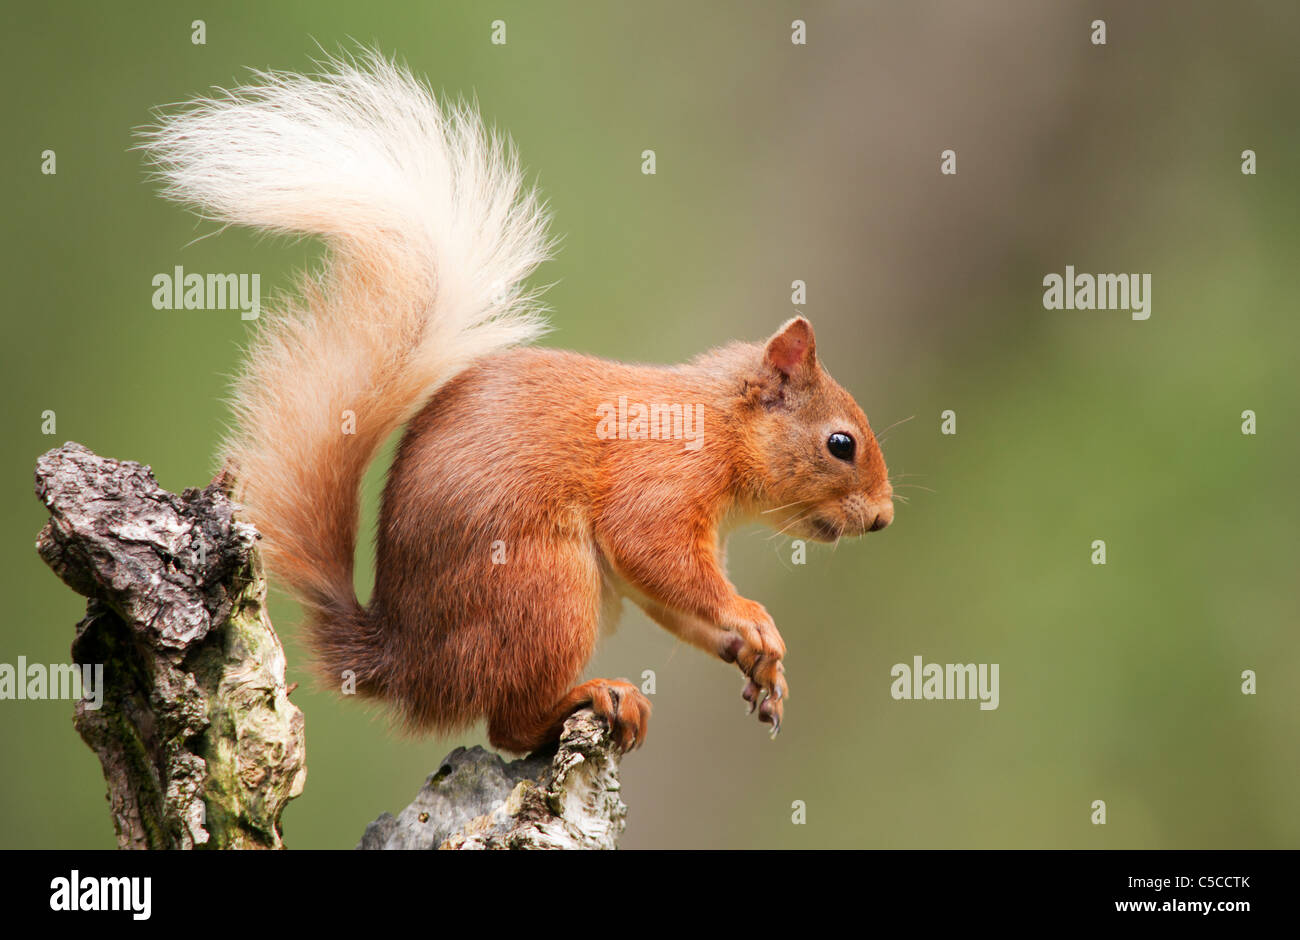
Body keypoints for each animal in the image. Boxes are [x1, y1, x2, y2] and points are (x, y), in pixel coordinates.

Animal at [141, 53, 894, 755]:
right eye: (841, 444)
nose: (884, 519)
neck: (721, 424)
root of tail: (405, 663)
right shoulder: (663, 479)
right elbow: (658, 556)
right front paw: (752, 618)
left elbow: (669, 599)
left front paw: (759, 661)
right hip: (545, 590)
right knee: (508, 726)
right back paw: (592, 695)